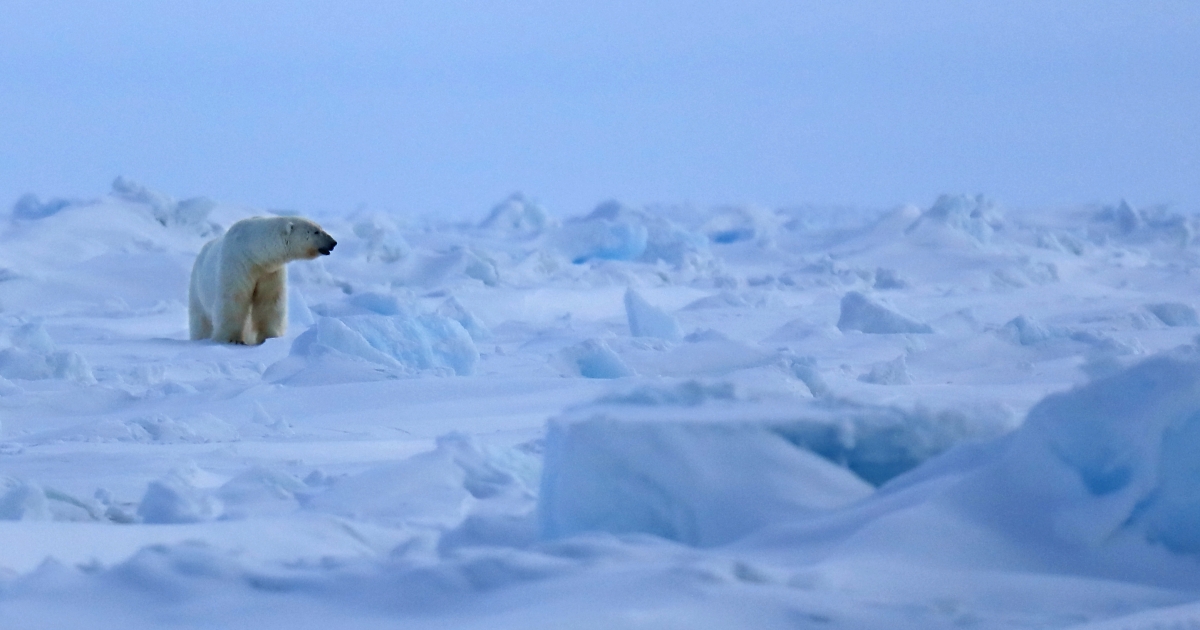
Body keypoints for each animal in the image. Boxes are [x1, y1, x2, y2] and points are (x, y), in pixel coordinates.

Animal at [189, 216, 336, 345]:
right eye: (316, 231)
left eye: (320, 227)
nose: (333, 242)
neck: (253, 252)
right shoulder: (236, 264)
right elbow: (233, 299)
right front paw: (232, 339)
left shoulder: (269, 272)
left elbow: (270, 300)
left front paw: (270, 337)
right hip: (197, 290)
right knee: (201, 321)